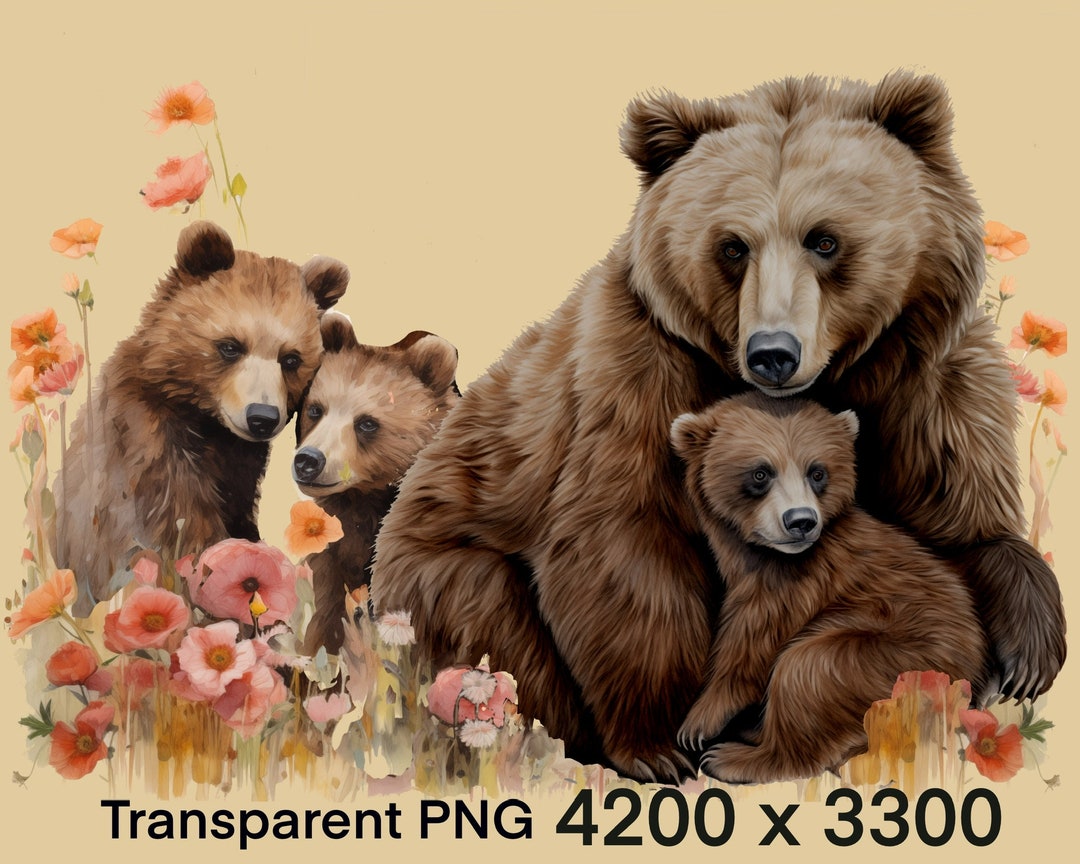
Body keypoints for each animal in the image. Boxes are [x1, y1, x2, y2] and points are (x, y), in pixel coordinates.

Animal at [54, 221, 350, 617]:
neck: (206, 424)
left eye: (290, 359)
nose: (262, 417)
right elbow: (183, 535)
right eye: (230, 346)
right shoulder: (149, 457)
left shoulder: (238, 473)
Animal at [293, 313, 460, 656]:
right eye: (316, 409)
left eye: (367, 423)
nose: (308, 460)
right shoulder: (335, 539)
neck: (367, 497)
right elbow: (326, 602)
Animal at [670, 392, 988, 784]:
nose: (801, 521)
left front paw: (700, 718)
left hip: (900, 659)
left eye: (816, 471)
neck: (762, 554)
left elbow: (752, 643)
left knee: (807, 669)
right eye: (761, 472)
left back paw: (735, 758)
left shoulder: (802, 582)